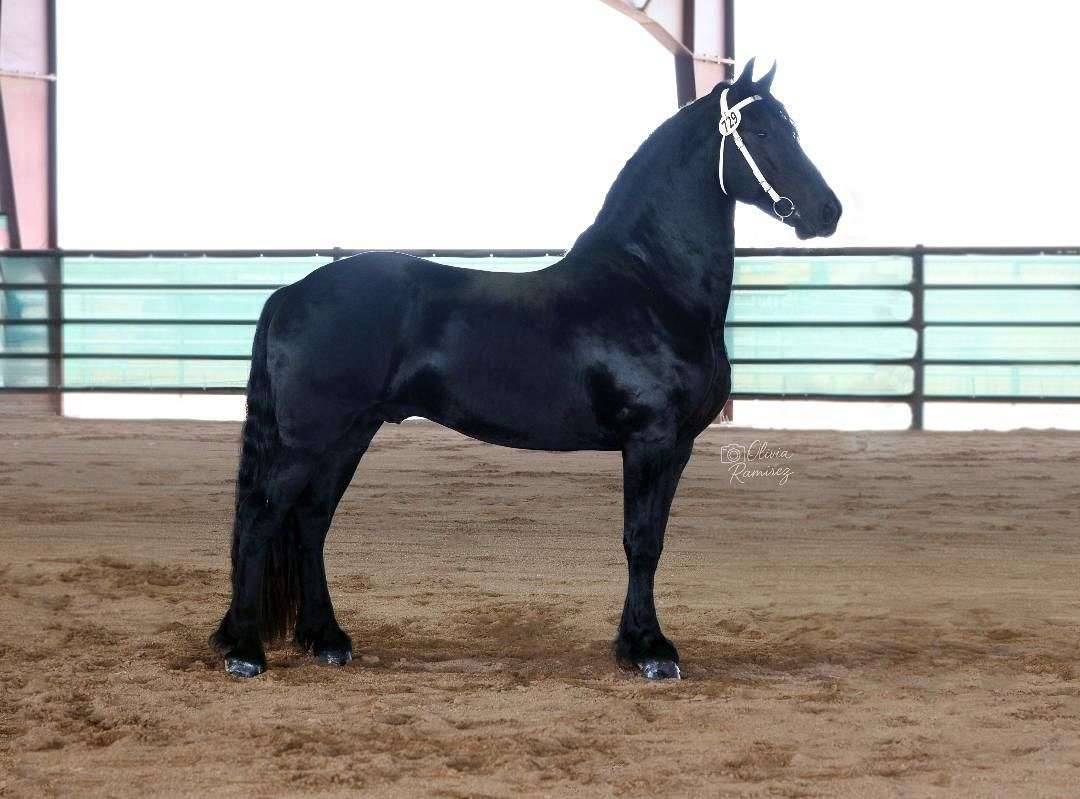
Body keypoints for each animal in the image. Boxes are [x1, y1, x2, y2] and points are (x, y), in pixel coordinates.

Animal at [209, 59, 841, 680]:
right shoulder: (650, 439)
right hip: (310, 439)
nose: (828, 212)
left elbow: (654, 540)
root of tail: (289, 293)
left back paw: (326, 640)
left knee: (310, 520)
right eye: (761, 132)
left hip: (348, 435)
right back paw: (245, 650)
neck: (652, 287)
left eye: (790, 129)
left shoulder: (678, 445)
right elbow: (639, 542)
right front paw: (650, 651)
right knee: (263, 519)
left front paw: (635, 643)